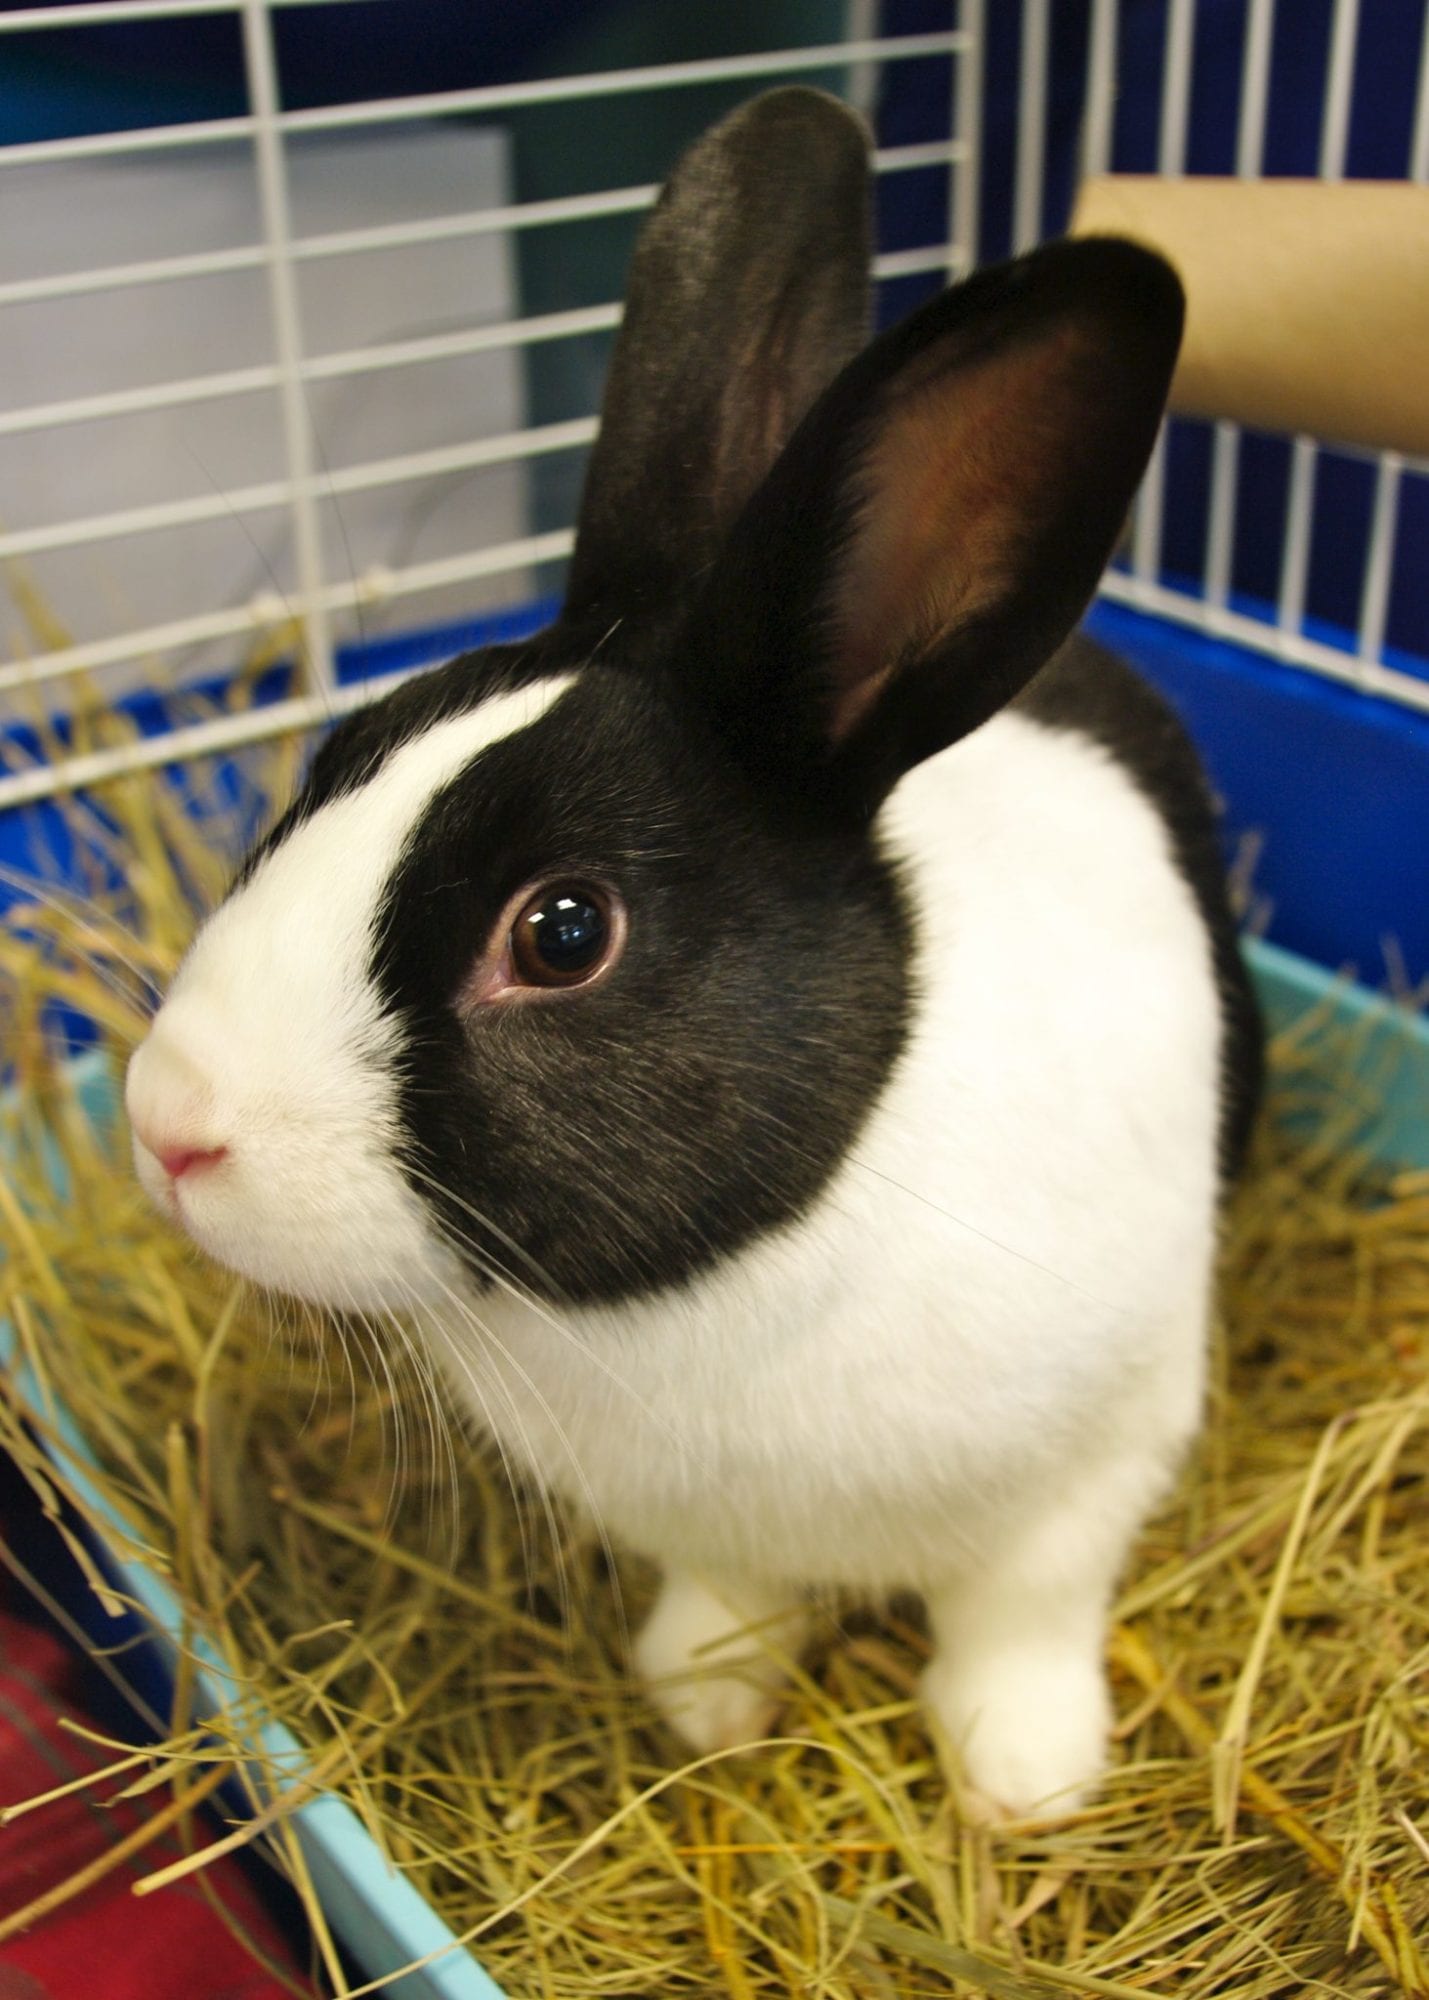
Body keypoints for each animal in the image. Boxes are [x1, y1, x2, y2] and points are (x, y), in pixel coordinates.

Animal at [125, 87, 1263, 1820]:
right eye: (335, 756)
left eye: (563, 932)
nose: (168, 1123)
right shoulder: (709, 1528)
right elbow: (734, 1599)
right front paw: (699, 1703)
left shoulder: (1101, 1455)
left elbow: (1022, 1614)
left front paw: (1023, 1782)